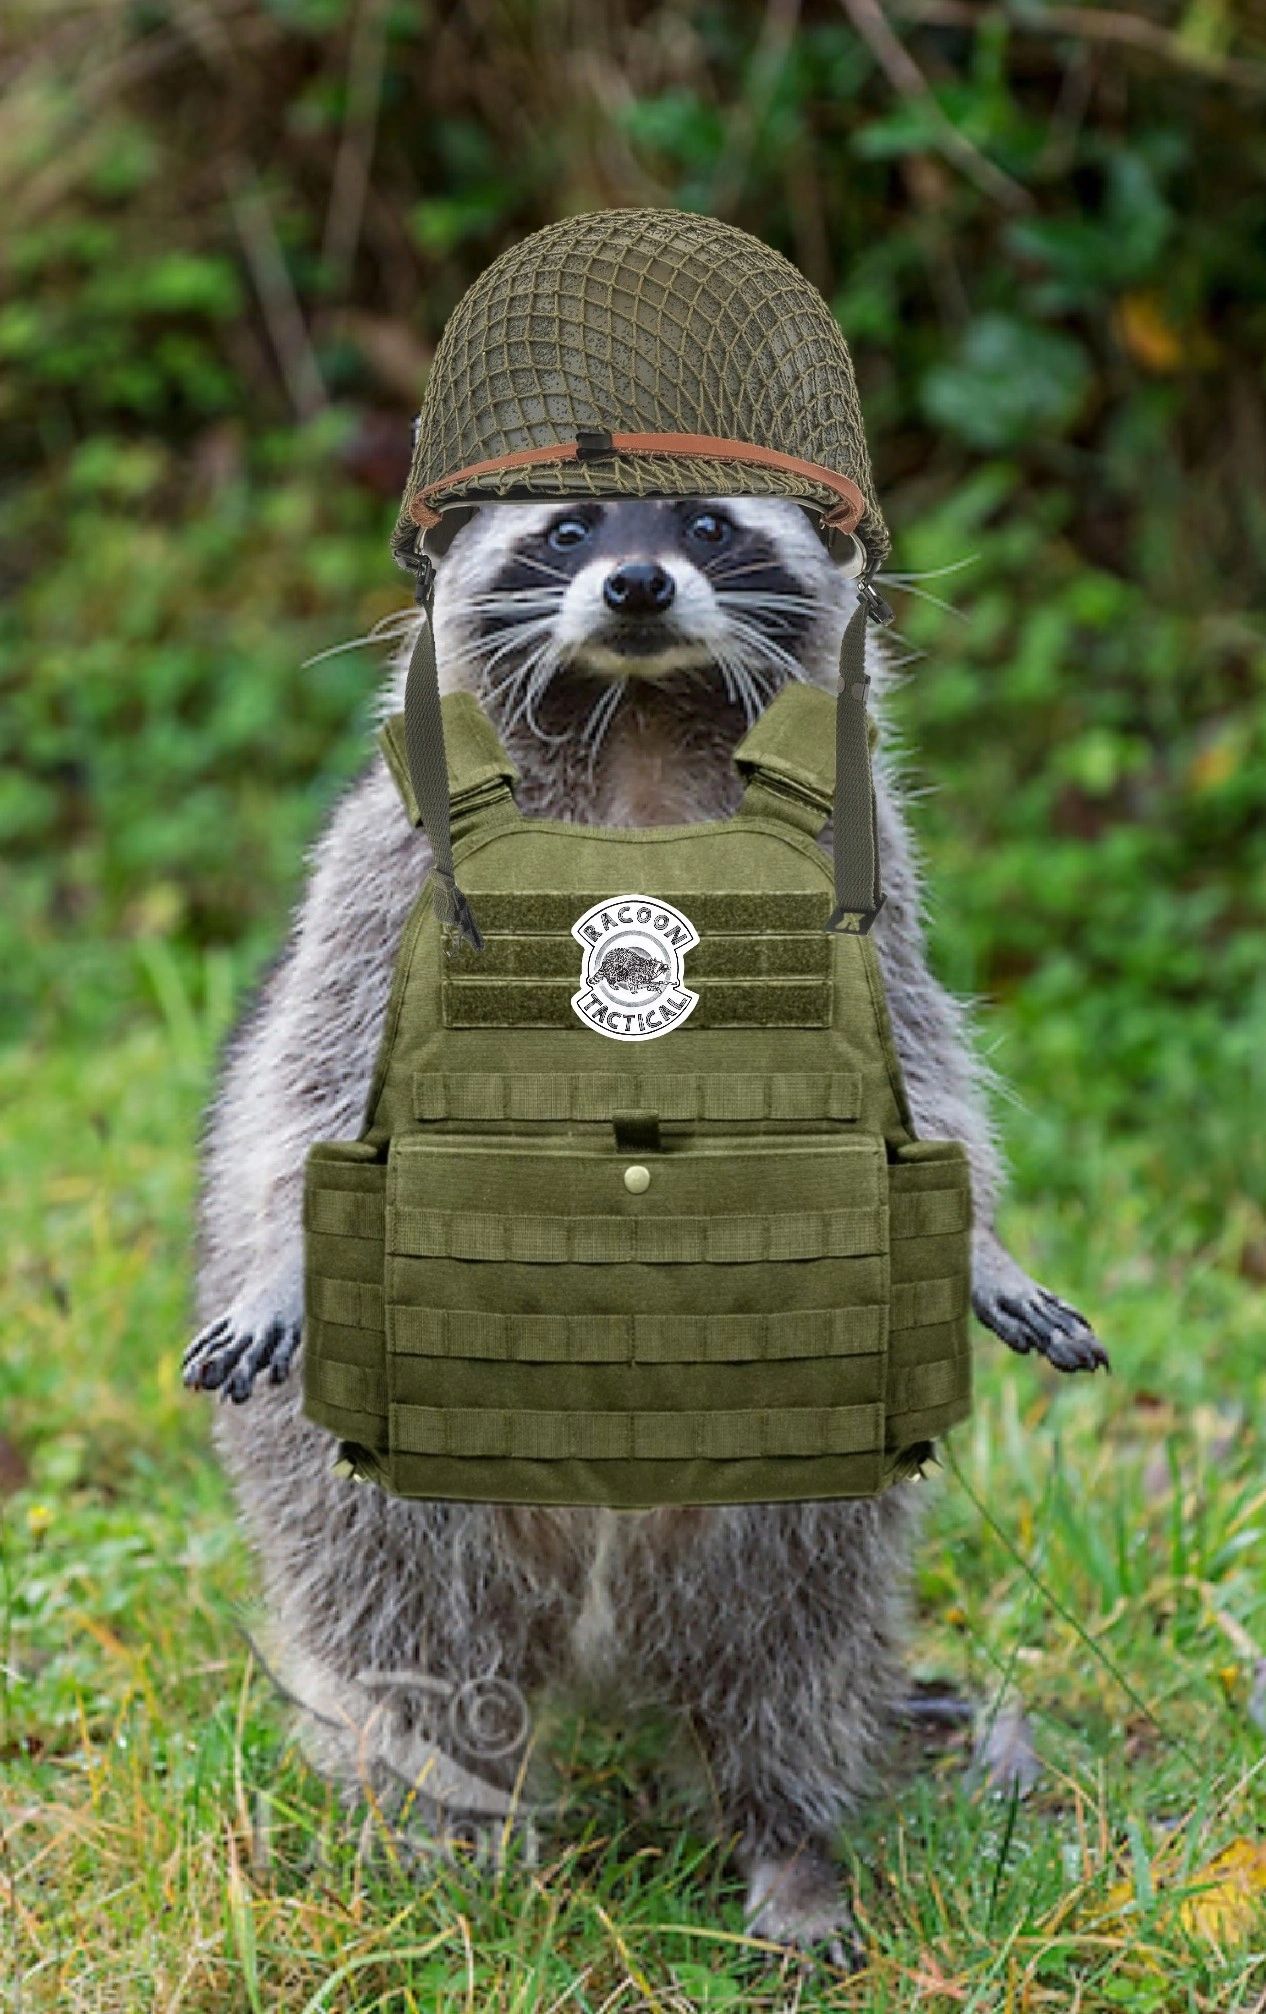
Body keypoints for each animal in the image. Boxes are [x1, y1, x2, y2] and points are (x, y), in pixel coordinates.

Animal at [184, 495, 1105, 1968]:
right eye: (566, 530)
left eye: (709, 523)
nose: (633, 587)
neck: (636, 725)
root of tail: (598, 1618)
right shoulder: (386, 870)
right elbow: (318, 1075)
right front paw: (278, 1261)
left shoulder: (866, 870)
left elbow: (913, 1062)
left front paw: (983, 1249)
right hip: (379, 1495)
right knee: (418, 1638)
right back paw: (457, 1826)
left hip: (781, 1502)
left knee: (785, 1643)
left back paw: (785, 1832)